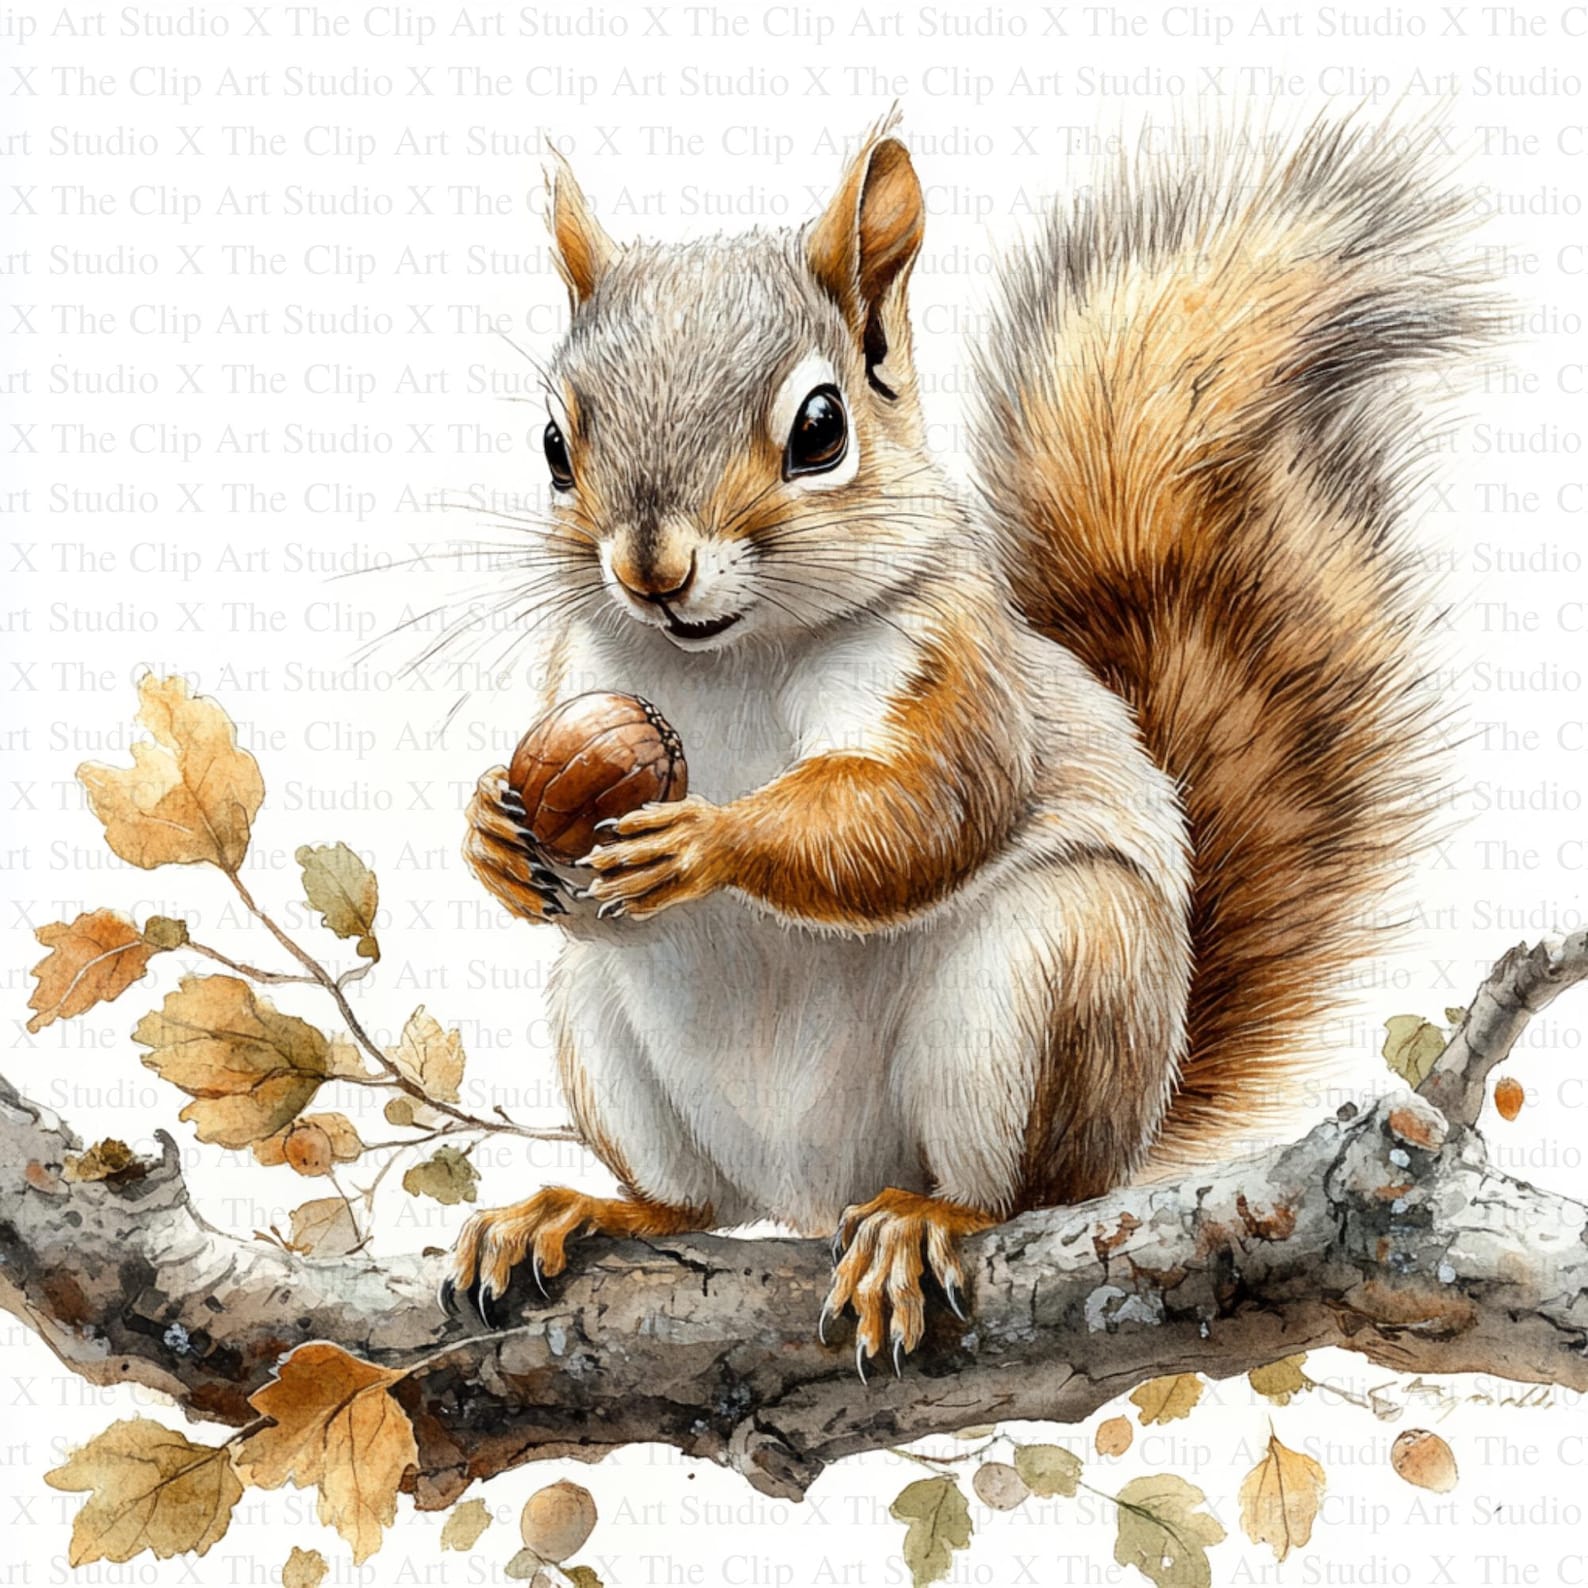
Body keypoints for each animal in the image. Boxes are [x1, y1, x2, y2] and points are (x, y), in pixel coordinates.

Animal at [441, 109, 1486, 1373]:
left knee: (1013, 1192)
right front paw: (490, 830)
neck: (722, 659)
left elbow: (918, 813)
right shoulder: (584, 677)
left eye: (820, 429)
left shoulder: (956, 669)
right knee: (690, 1201)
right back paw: (577, 1207)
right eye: (555, 443)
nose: (652, 570)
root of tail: (815, 1186)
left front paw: (705, 840)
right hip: (605, 1033)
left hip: (1050, 979)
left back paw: (917, 1222)